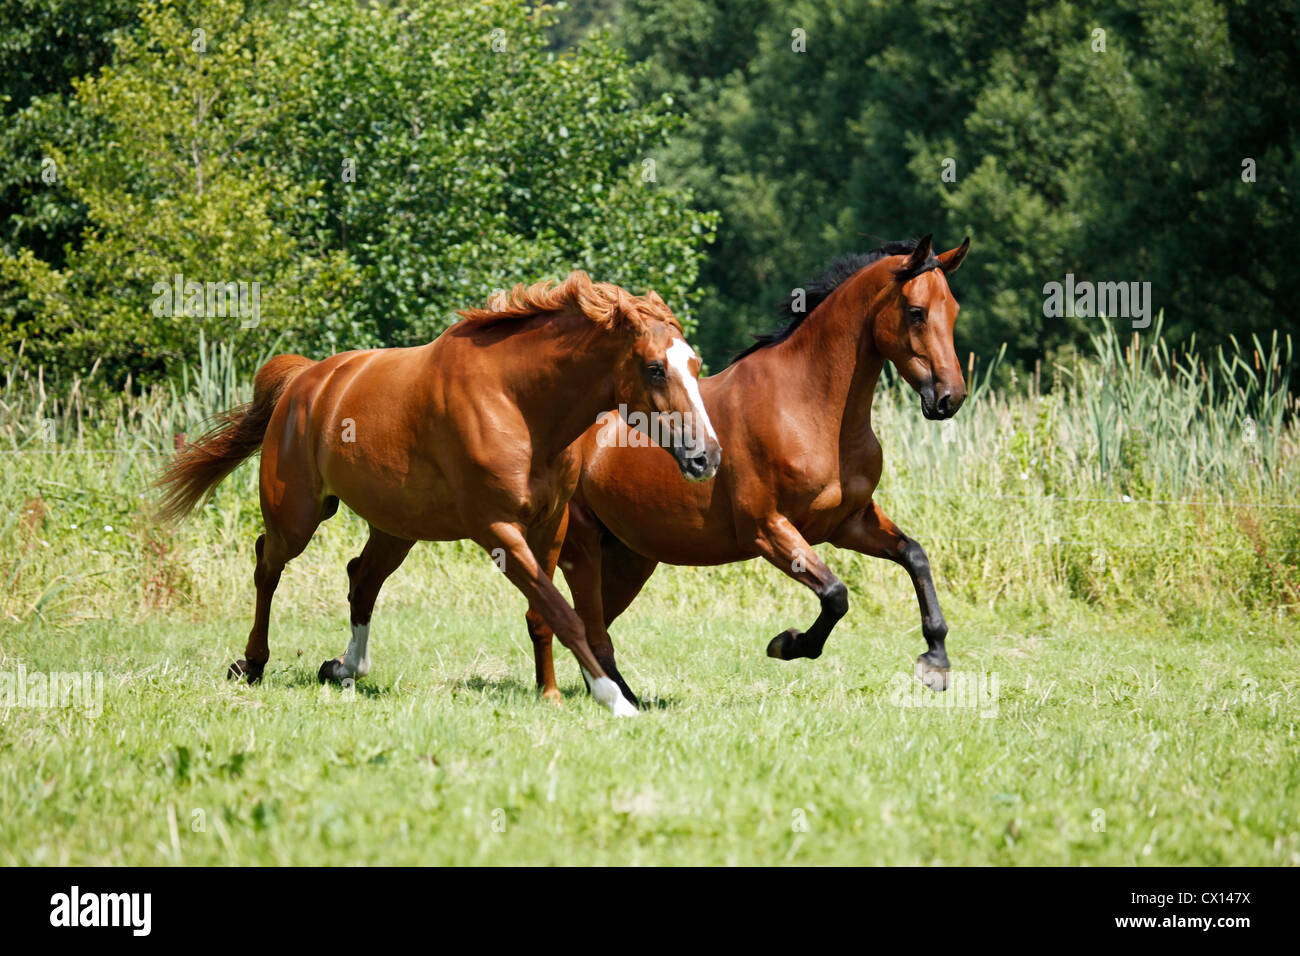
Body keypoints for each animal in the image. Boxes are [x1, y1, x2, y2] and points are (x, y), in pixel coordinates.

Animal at [155, 271, 722, 717]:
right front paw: (613, 699)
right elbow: (563, 612)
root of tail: (305, 380)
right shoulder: (495, 529)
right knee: (266, 565)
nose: (706, 458)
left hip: (396, 528)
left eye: (695, 365)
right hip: (296, 516)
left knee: (361, 578)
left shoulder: (550, 524)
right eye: (654, 367)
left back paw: (344, 668)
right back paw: (252, 664)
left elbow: (544, 613)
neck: (517, 403)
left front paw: (551, 694)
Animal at [527, 235, 970, 707]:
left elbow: (915, 556)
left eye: (953, 309)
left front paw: (935, 662)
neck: (810, 408)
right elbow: (836, 595)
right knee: (560, 619)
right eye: (917, 312)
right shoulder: (768, 528)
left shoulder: (848, 523)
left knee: (594, 628)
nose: (950, 398)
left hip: (630, 557)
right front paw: (787, 643)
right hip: (577, 545)